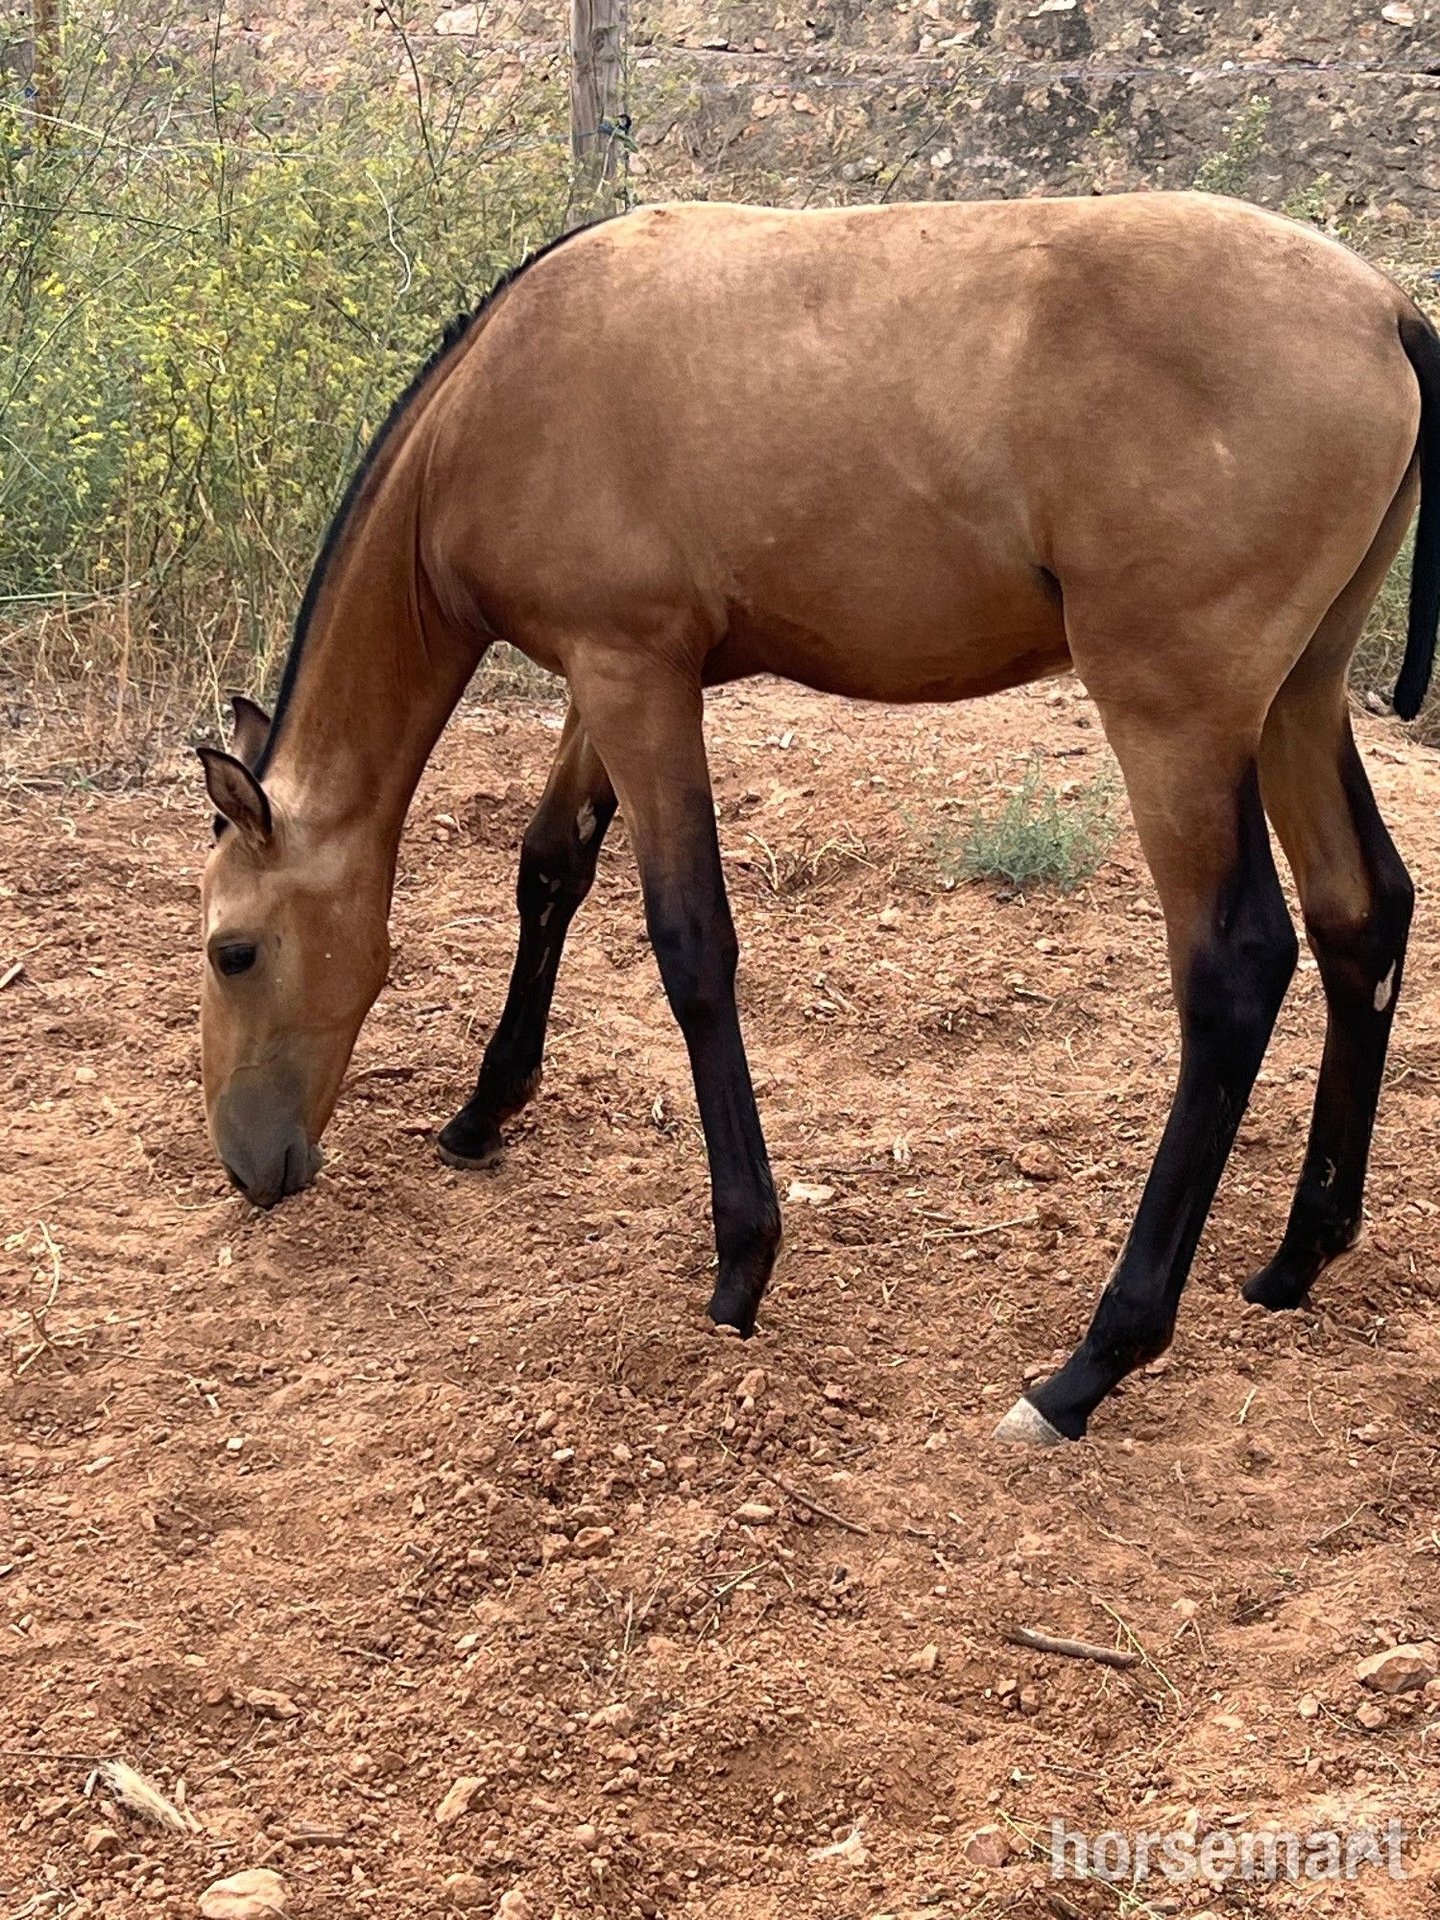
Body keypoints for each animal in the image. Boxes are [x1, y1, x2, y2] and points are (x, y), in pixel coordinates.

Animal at [195, 193, 1440, 1445]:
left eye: (232, 951)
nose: (250, 1168)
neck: (496, 400)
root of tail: (1384, 305)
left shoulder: (635, 676)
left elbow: (692, 948)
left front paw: (742, 1264)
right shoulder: (611, 683)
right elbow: (549, 869)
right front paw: (482, 1112)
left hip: (1177, 721)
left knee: (1237, 971)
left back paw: (1092, 1364)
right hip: (1299, 695)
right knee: (1362, 915)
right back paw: (1298, 1258)